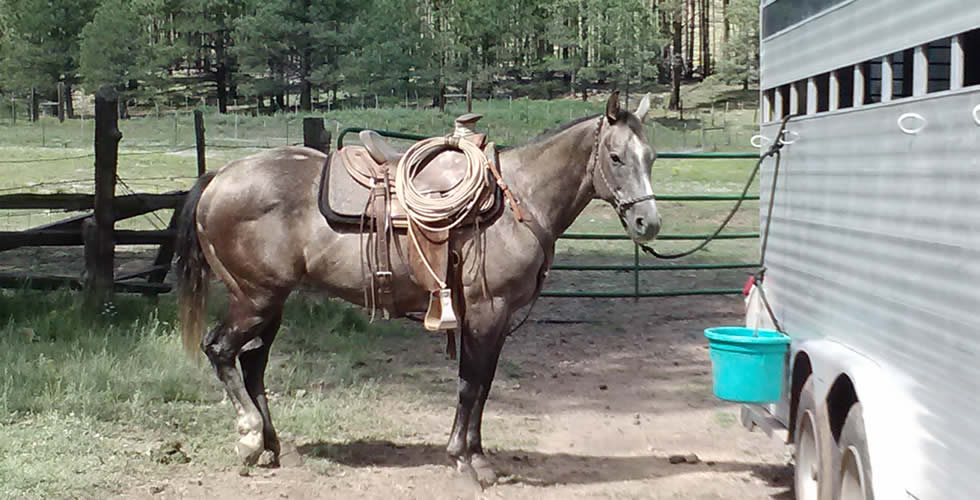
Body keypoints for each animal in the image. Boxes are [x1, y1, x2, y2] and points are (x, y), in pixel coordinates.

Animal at [175, 92, 661, 483]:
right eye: (616, 157)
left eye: (651, 157)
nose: (648, 223)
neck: (518, 201)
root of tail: (218, 178)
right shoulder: (487, 311)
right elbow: (472, 384)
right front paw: (468, 461)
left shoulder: (491, 320)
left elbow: (481, 383)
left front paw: (472, 454)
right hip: (254, 298)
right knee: (220, 351)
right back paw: (250, 438)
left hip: (270, 303)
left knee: (253, 365)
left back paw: (271, 446)